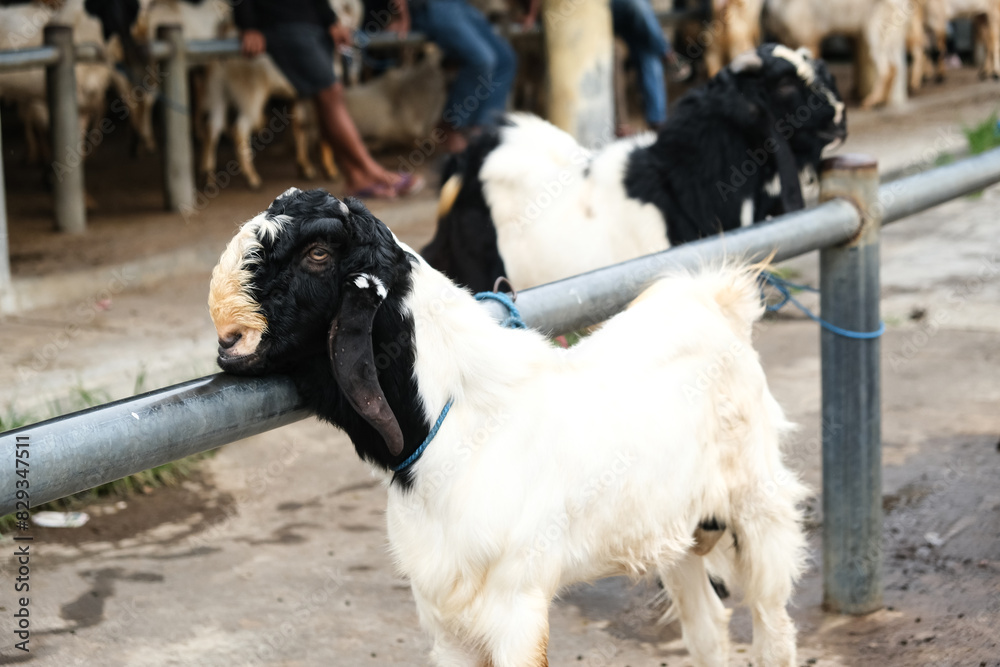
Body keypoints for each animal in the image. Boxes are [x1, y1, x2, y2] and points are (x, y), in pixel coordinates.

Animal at [208, 187, 809, 667]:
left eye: (317, 254)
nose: (229, 340)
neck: (459, 423)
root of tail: (716, 302)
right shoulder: (446, 615)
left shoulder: (516, 604)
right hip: (674, 532)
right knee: (707, 630)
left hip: (759, 508)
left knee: (772, 627)